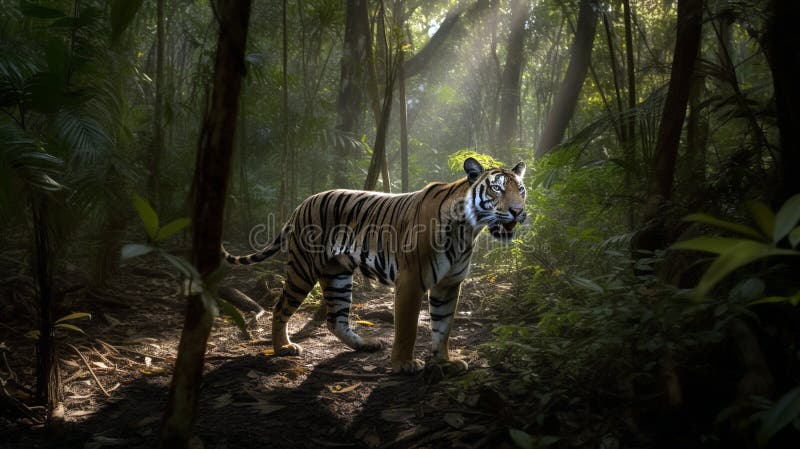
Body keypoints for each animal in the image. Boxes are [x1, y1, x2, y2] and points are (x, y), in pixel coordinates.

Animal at [222, 157, 527, 374]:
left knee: (335, 319)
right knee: (280, 307)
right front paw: (403, 365)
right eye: (497, 188)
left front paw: (444, 363)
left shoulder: (449, 284)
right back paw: (282, 348)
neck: (468, 230)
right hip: (302, 270)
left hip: (338, 275)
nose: (518, 211)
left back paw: (365, 345)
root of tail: (302, 204)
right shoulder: (410, 281)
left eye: (521, 190)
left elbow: (443, 327)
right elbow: (408, 327)